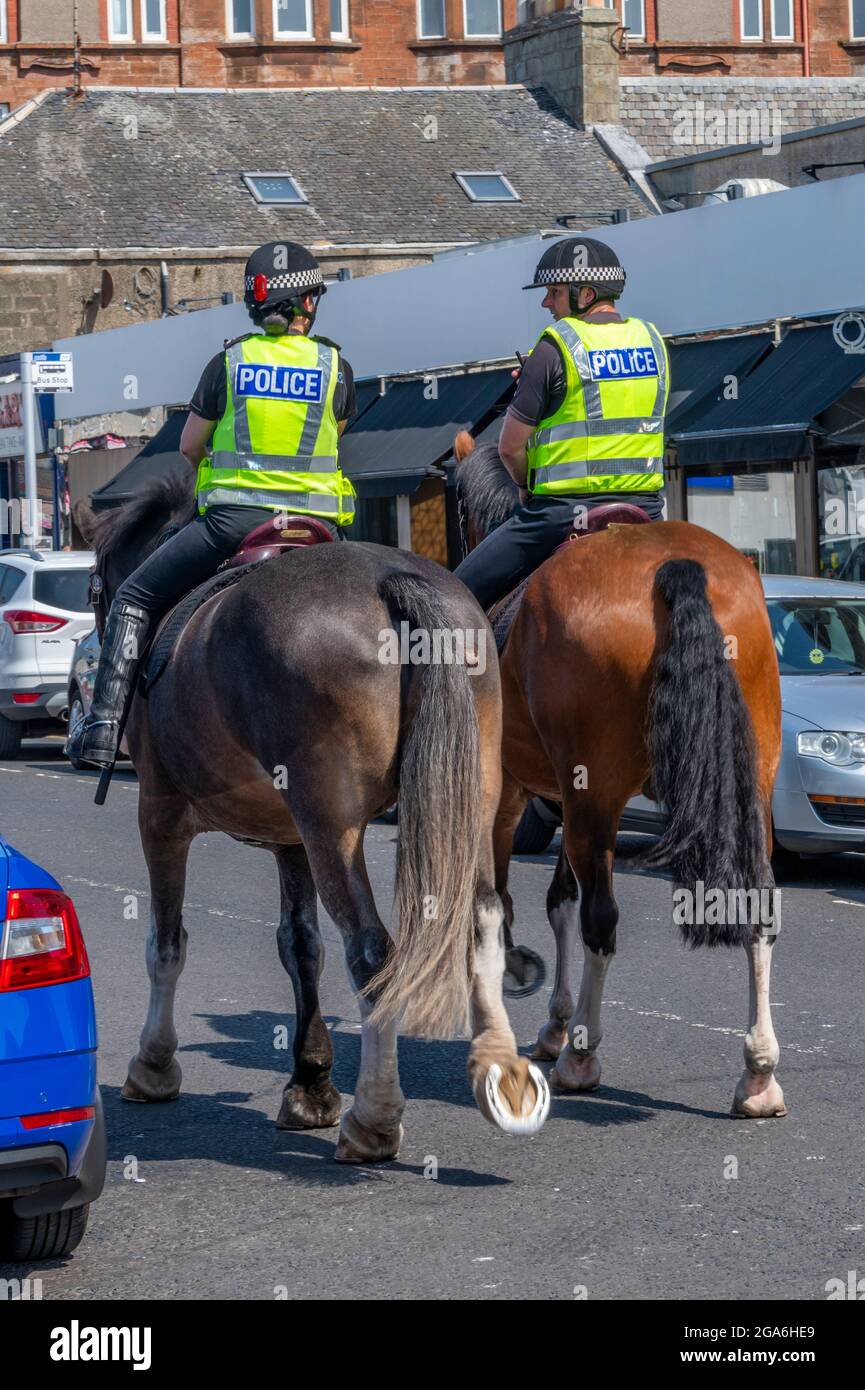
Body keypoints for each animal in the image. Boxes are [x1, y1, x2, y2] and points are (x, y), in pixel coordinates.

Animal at [83, 471, 550, 1164]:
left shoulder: (161, 815)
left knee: (372, 951)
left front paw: (155, 1064)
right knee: (483, 921)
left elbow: (166, 944)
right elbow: (300, 947)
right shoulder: (290, 838)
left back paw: (374, 1119)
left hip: (333, 824)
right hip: (467, 804)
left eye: (93, 587)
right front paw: (309, 1084)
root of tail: (391, 580)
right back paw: (501, 1073)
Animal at [454, 431, 786, 1119]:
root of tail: (674, 567)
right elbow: (557, 899)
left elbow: (508, 897)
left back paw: (583, 1057)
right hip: (746, 789)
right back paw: (758, 1073)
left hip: (595, 795)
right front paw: (554, 1023)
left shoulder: (515, 795)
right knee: (758, 907)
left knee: (601, 920)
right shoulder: (560, 795)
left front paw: (533, 1006)